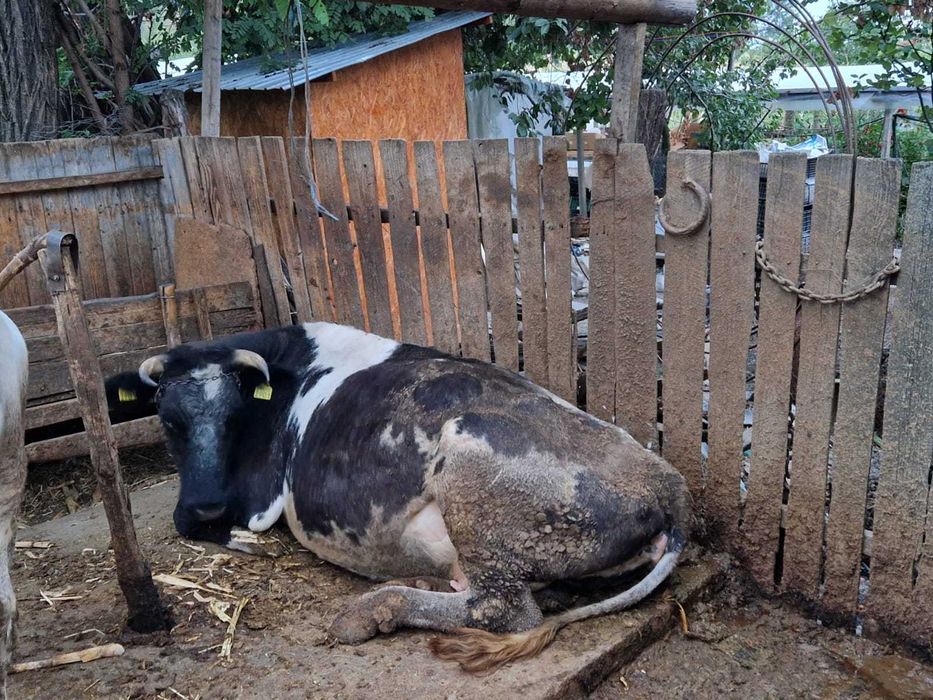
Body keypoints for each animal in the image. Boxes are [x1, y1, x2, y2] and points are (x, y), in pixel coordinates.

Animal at [106, 322, 692, 672]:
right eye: (168, 421)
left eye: (235, 420)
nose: (203, 509)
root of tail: (670, 486)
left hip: (470, 475)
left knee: (502, 608)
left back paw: (374, 608)